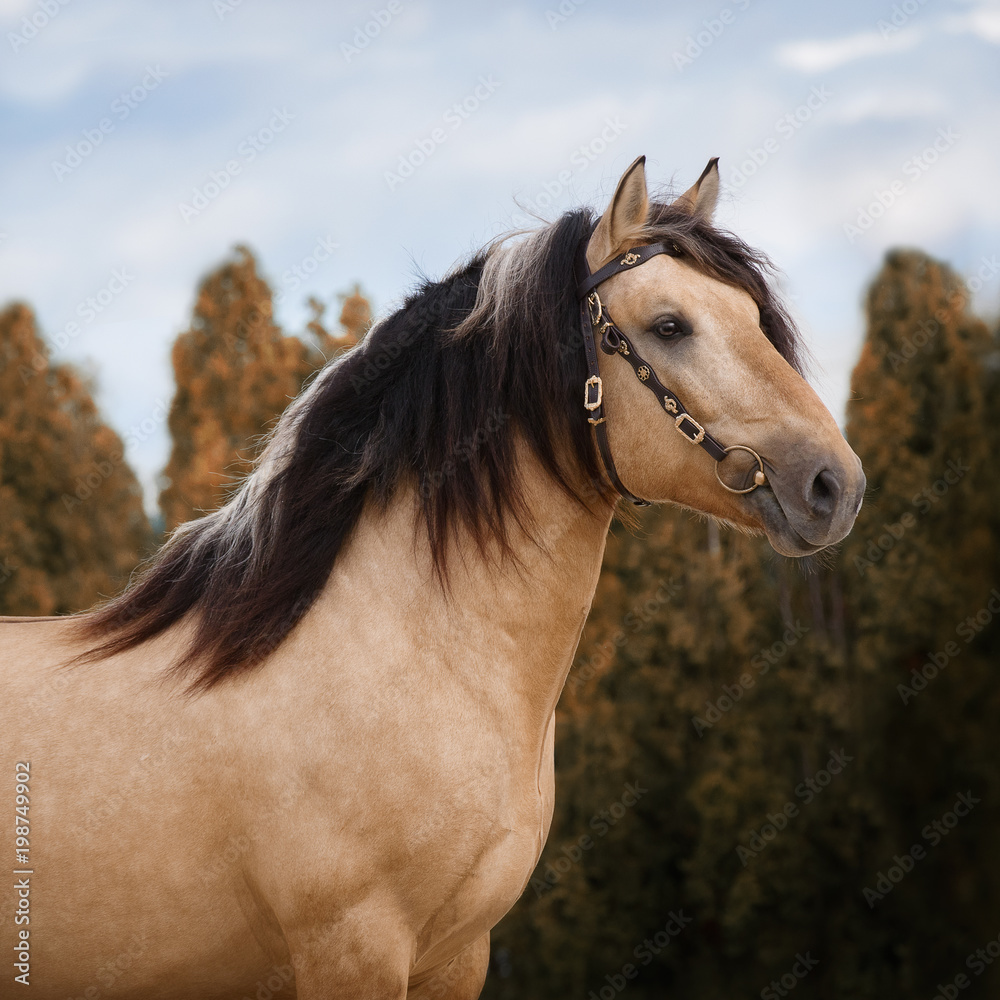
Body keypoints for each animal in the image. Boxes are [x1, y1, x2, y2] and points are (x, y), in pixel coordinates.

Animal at [1, 156, 864, 999]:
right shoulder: (354, 951)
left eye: (753, 318)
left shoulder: (458, 956)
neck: (411, 655)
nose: (836, 485)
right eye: (670, 325)